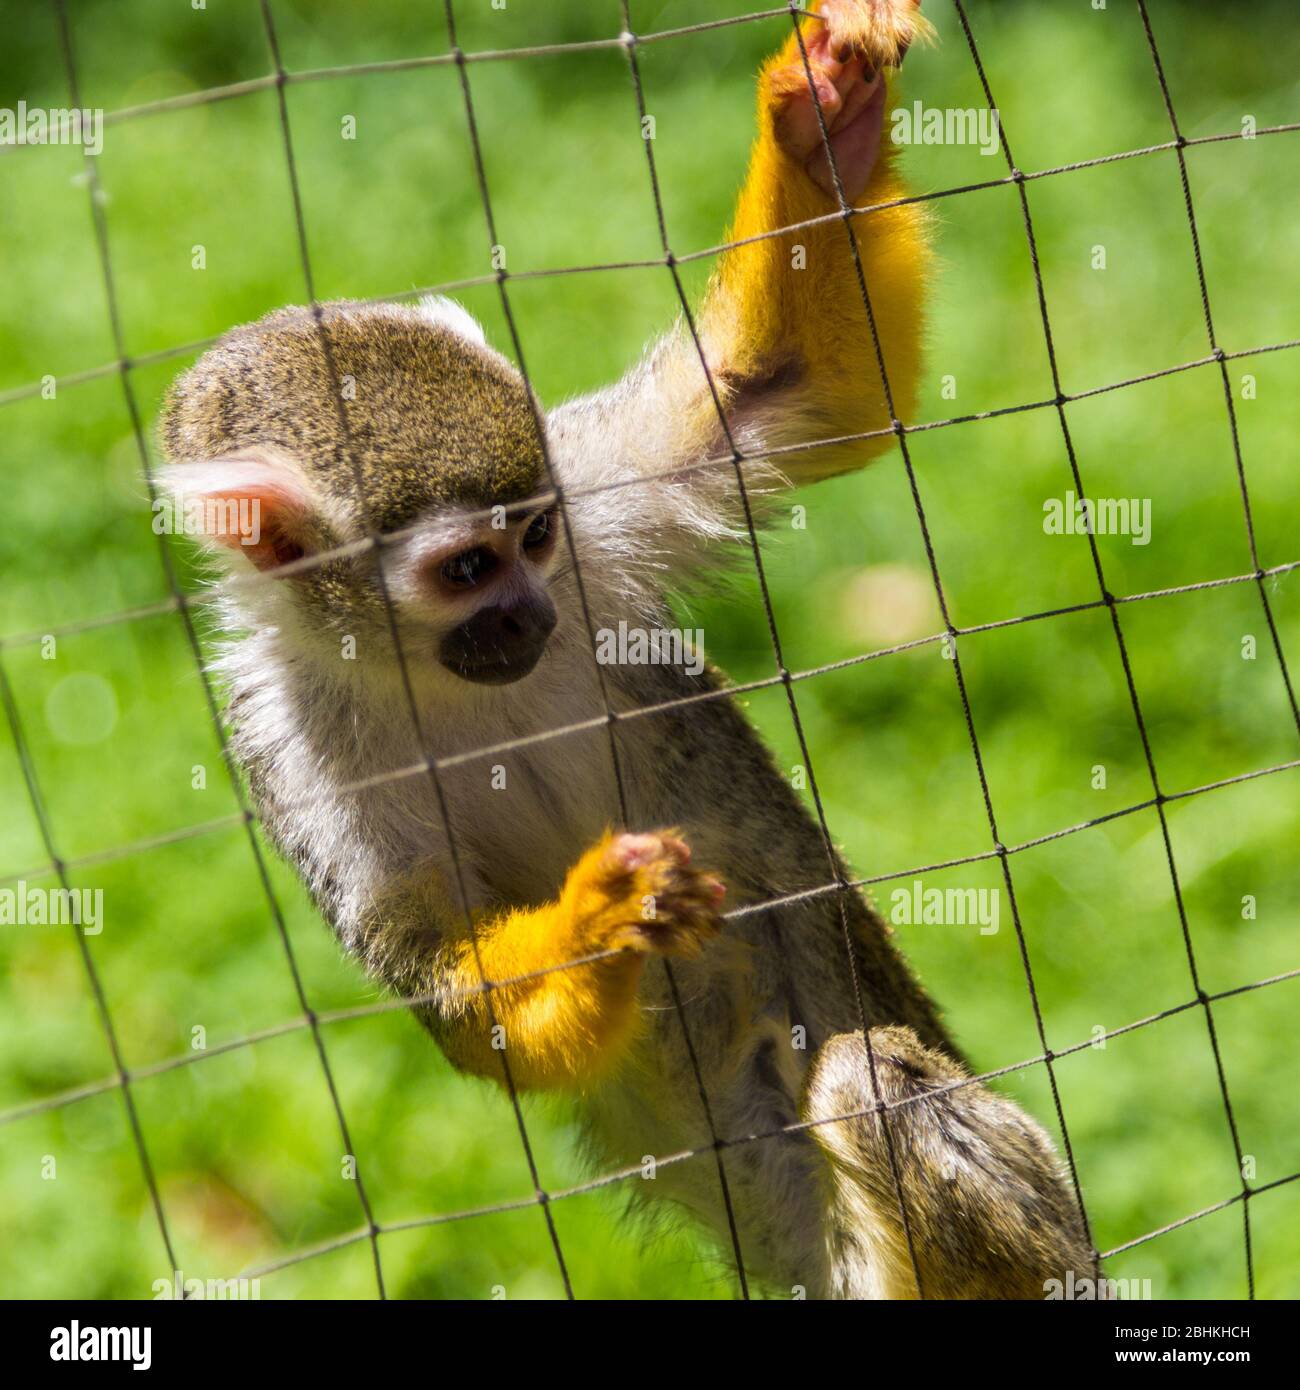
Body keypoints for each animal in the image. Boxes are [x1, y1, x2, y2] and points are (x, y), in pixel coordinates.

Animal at [157, 0, 1095, 1298]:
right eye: (464, 571)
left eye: (534, 537)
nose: (530, 619)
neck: (416, 663)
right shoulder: (279, 738)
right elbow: (460, 1003)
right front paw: (605, 919)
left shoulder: (594, 493)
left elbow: (797, 395)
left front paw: (823, 117)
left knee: (869, 1079)